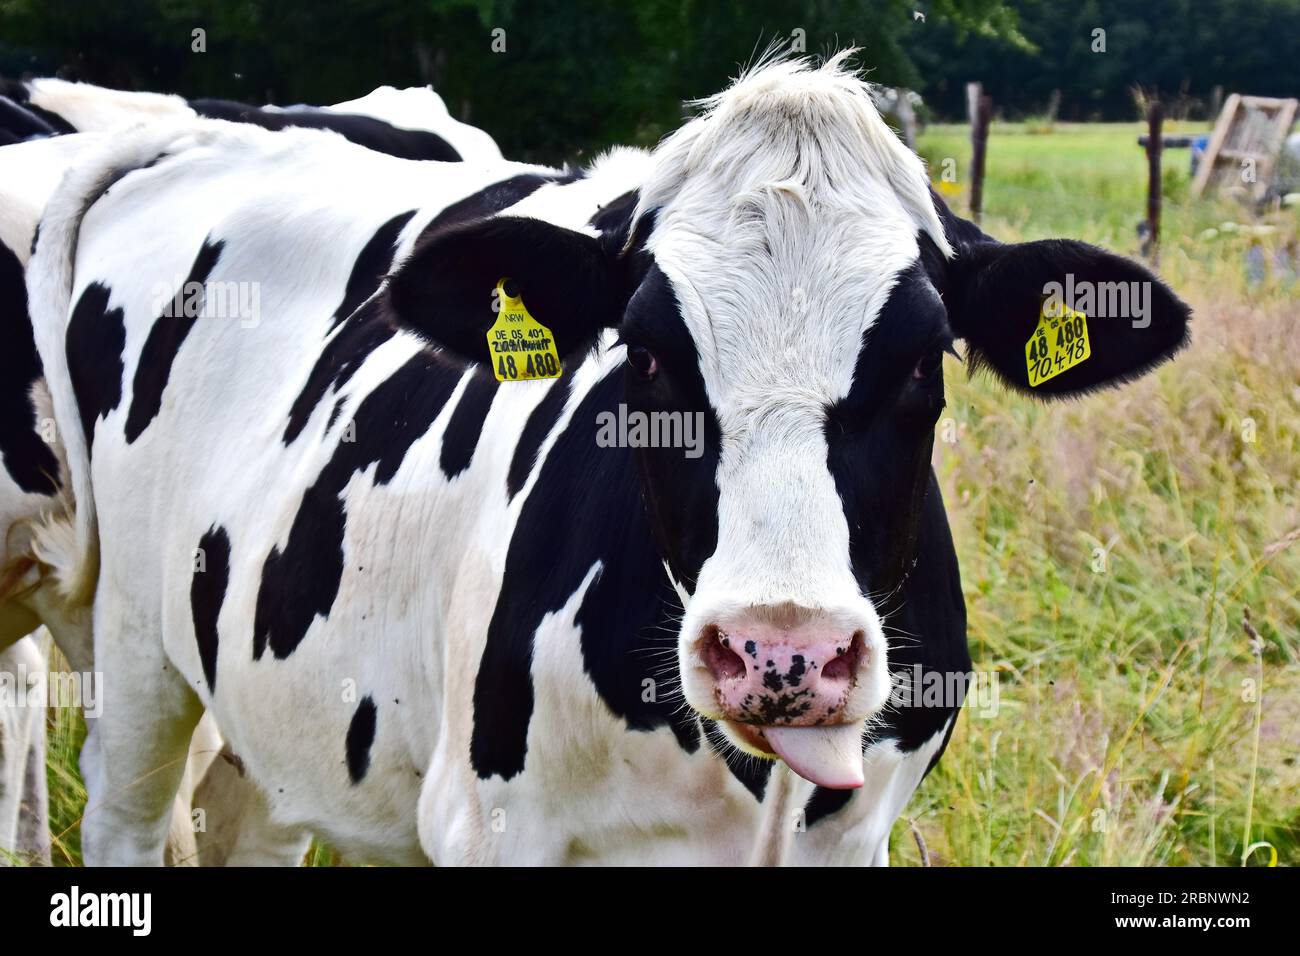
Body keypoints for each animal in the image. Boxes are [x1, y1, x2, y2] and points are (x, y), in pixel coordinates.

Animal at [26, 53, 1189, 865]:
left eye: (921, 358)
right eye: (650, 351)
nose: (781, 653)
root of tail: (199, 137)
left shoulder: (857, 834)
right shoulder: (494, 824)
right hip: (134, 645)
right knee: (128, 812)